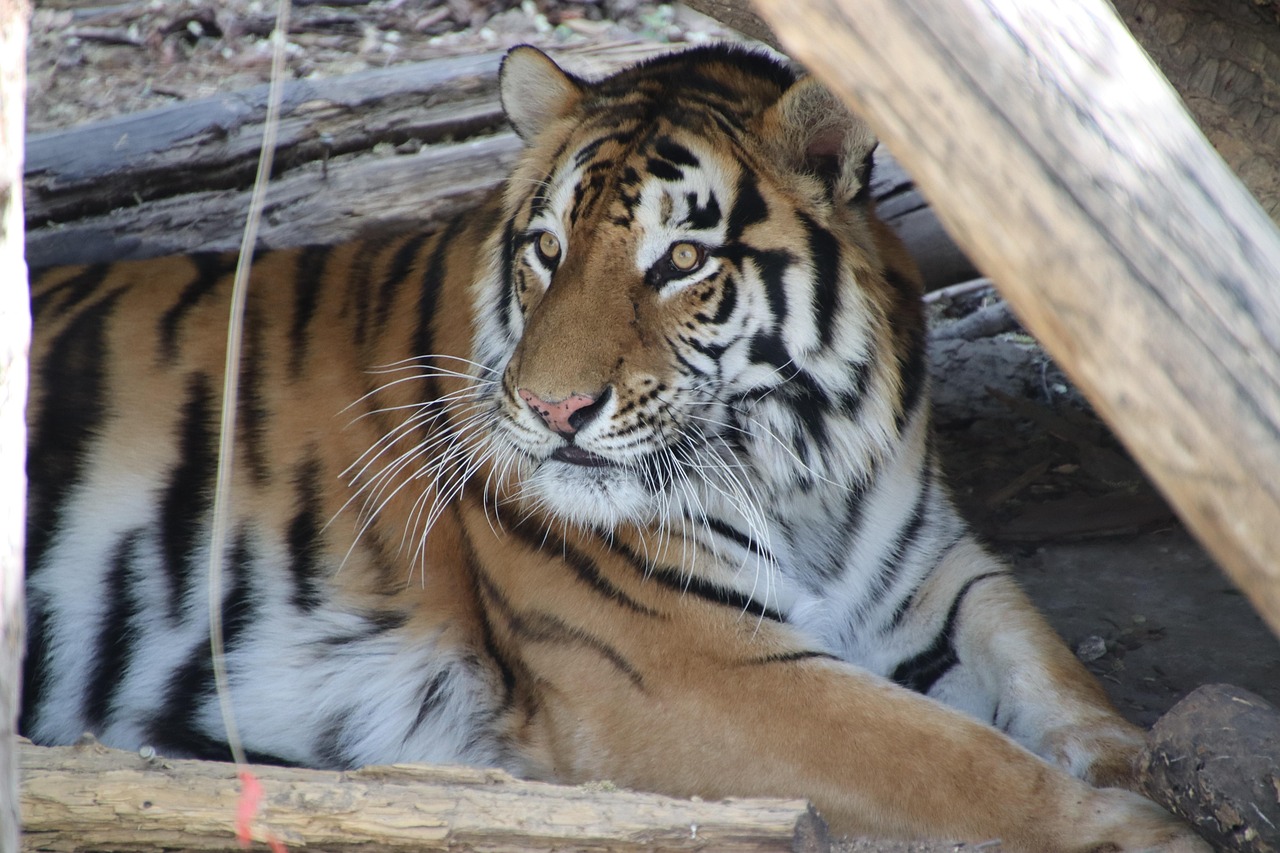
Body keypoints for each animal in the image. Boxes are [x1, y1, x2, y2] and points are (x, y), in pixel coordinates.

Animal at [23, 44, 1208, 851]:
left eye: (680, 259)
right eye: (547, 249)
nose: (552, 411)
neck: (804, 467)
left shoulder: (933, 574)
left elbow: (1053, 675)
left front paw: (1148, 762)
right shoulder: (689, 663)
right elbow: (957, 761)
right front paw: (1139, 831)